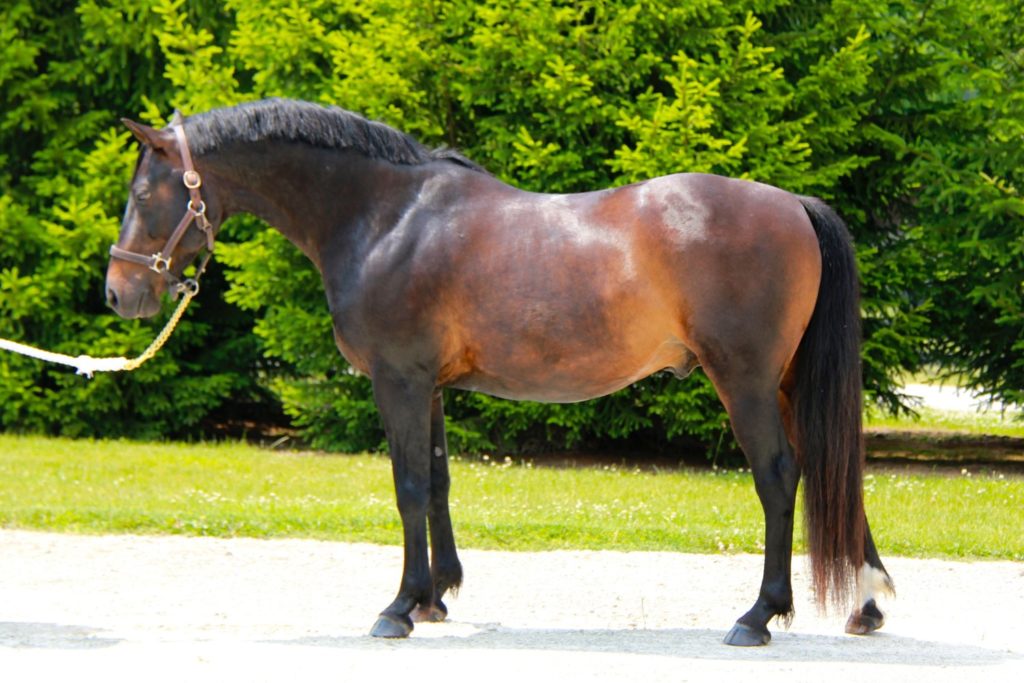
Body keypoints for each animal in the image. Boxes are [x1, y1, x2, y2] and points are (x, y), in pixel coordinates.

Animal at [105, 98, 894, 646]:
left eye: (144, 197)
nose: (118, 293)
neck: (386, 216)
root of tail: (793, 203)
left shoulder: (397, 379)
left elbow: (408, 487)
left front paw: (399, 607)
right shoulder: (428, 386)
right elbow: (438, 482)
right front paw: (435, 596)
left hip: (747, 382)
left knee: (781, 476)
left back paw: (759, 614)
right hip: (786, 383)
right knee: (832, 468)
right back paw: (867, 600)